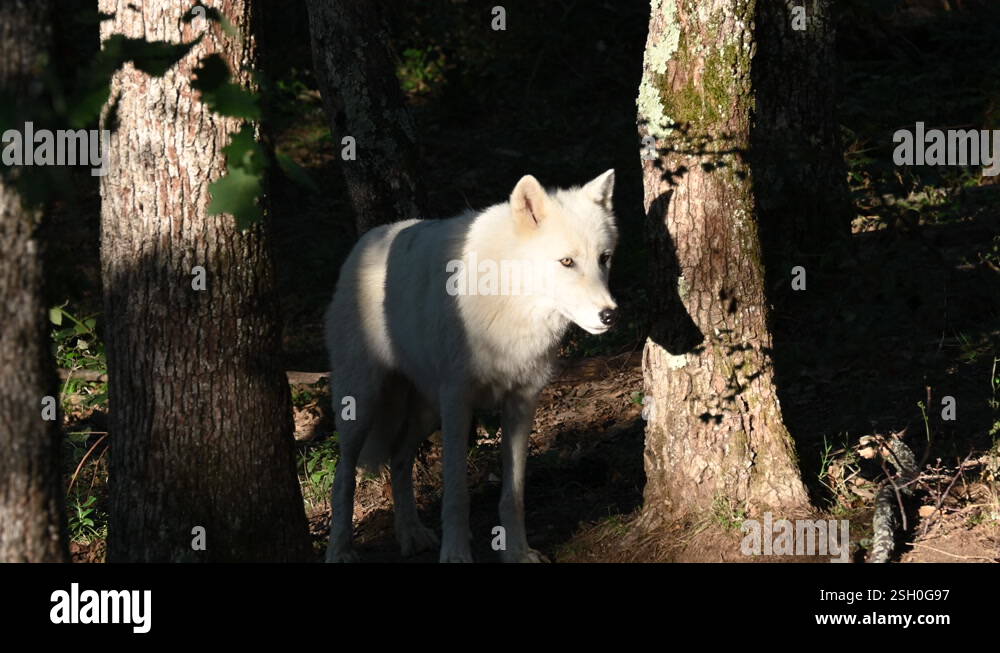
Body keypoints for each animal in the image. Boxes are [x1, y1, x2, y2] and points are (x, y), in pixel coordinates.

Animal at [324, 169, 618, 562]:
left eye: (604, 258)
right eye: (567, 262)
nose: (610, 315)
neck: (508, 300)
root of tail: (364, 242)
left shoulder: (522, 403)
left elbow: (514, 494)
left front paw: (517, 552)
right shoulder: (457, 402)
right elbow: (456, 493)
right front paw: (456, 553)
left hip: (425, 411)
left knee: (399, 459)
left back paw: (411, 534)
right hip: (363, 405)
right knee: (344, 475)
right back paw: (340, 549)